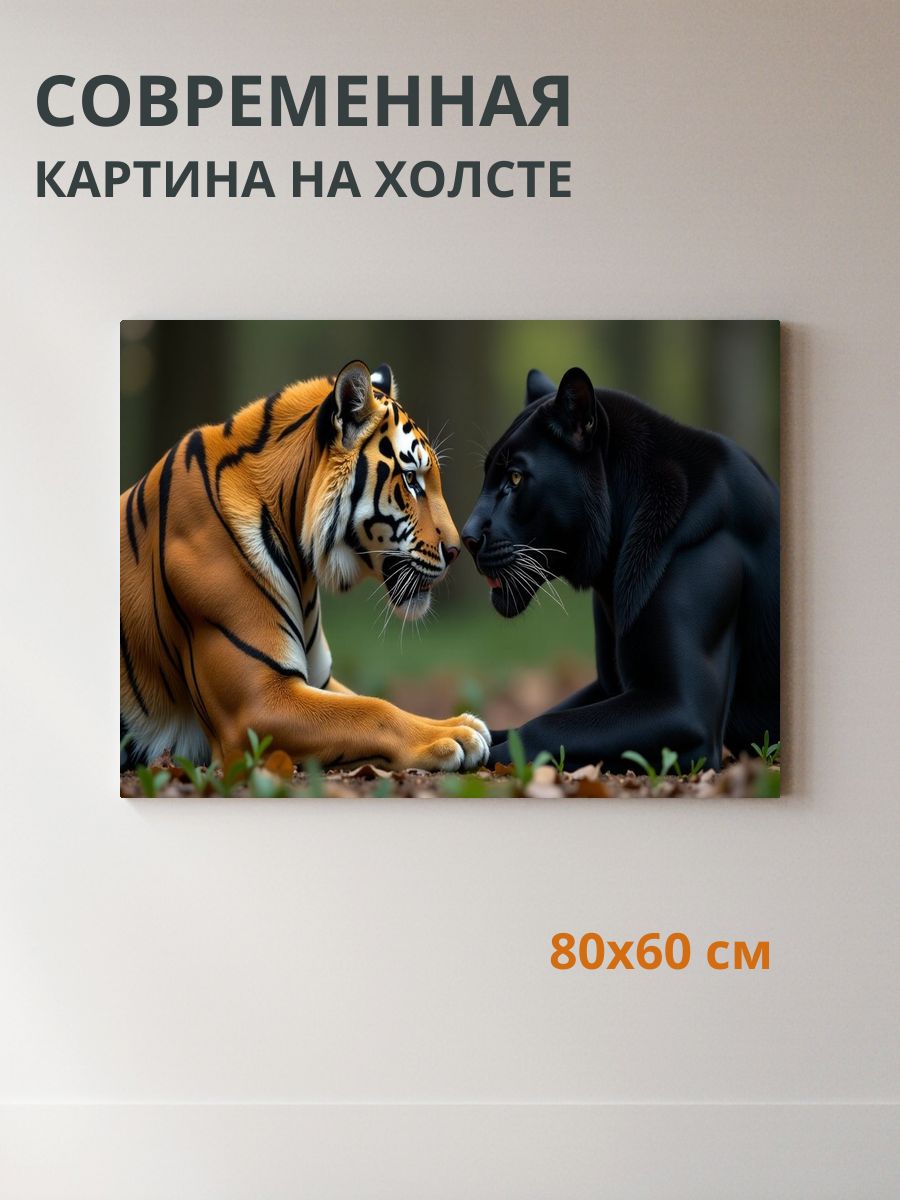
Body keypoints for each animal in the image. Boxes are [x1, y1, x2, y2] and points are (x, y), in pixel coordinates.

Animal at [120, 359, 490, 773]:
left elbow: (369, 701)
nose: (458, 550)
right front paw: (452, 736)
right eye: (411, 479)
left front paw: (458, 724)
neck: (302, 562)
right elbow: (373, 710)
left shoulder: (318, 680)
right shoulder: (256, 701)